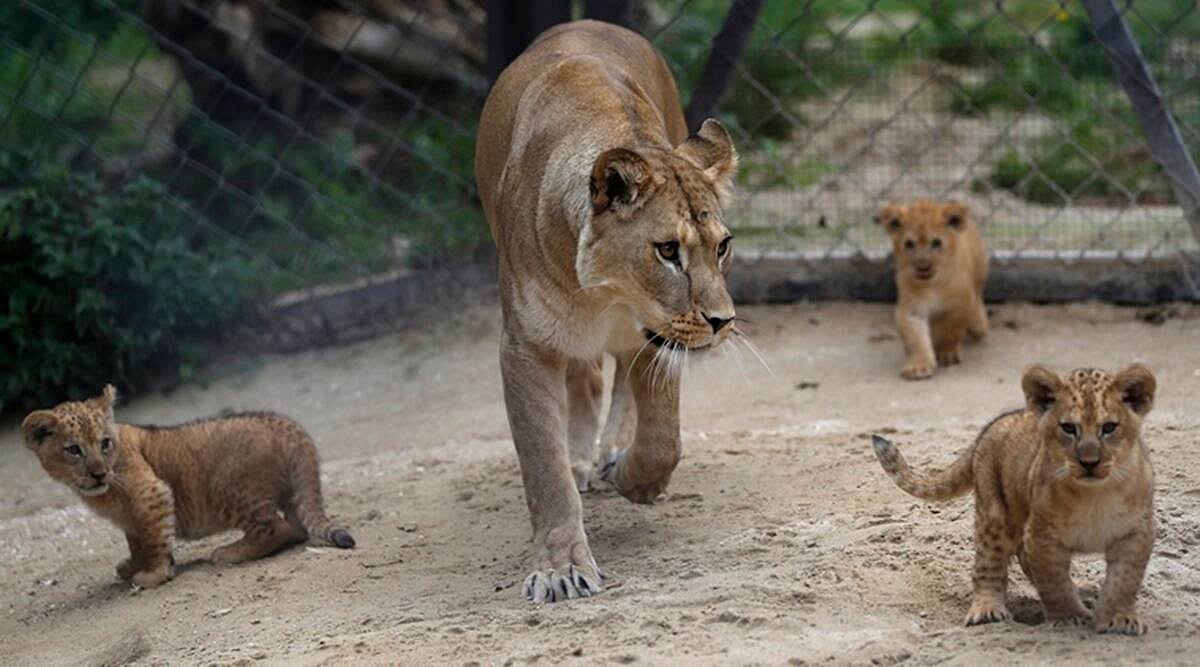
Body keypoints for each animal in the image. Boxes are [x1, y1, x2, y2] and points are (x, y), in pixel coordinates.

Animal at [22, 385, 353, 588]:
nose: (99, 474)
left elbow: (154, 539)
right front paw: (133, 566)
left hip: (225, 487)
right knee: (297, 526)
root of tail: (283, 422)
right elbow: (138, 541)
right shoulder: (131, 518)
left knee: (277, 528)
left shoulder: (152, 493)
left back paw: (229, 552)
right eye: (73, 450)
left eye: (104, 443)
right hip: (291, 492)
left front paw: (154, 574)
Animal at [474, 20, 739, 602]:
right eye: (668, 250)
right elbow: (543, 467)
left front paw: (636, 481)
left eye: (723, 246)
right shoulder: (524, 348)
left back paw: (612, 455)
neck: (605, 296)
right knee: (587, 382)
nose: (722, 322)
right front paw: (560, 568)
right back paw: (581, 457)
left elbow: (663, 438)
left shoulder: (656, 336)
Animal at [871, 365, 1157, 635]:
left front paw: (1119, 618)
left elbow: (1123, 580)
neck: (1095, 494)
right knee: (989, 564)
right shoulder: (1042, 535)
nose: (1089, 463)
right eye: (1068, 428)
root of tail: (988, 429)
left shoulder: (1135, 533)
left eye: (1109, 428)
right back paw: (987, 610)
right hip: (994, 515)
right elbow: (1054, 581)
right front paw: (1068, 616)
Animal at [877, 199, 988, 379]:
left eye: (936, 243)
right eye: (909, 244)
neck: (931, 285)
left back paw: (978, 325)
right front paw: (919, 365)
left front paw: (946, 353)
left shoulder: (959, 305)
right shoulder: (911, 308)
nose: (923, 267)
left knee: (977, 306)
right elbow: (915, 338)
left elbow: (948, 330)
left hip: (979, 276)